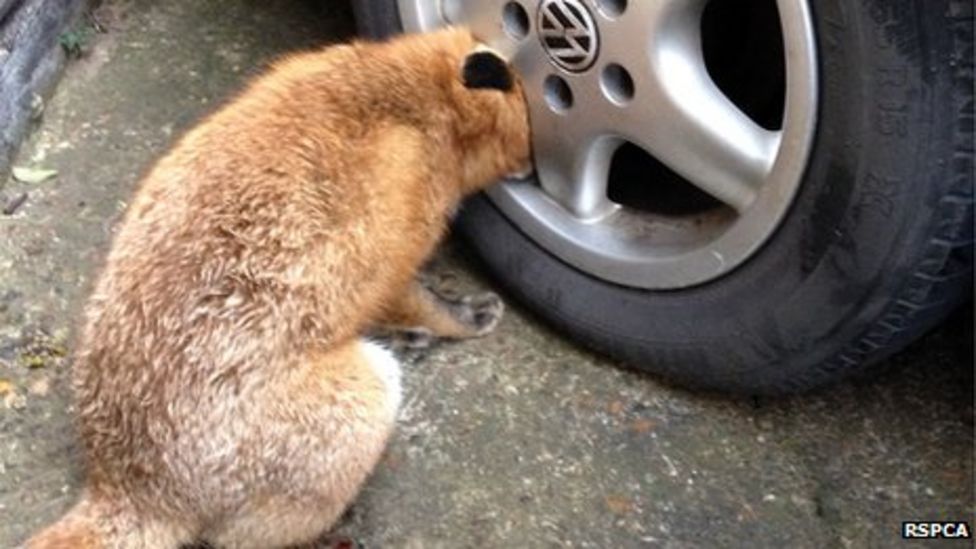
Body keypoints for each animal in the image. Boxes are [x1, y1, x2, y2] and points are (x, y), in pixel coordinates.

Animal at [26, 27, 531, 549]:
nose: (533, 167)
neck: (408, 105)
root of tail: (123, 486)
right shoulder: (390, 254)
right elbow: (427, 304)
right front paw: (465, 317)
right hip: (371, 390)